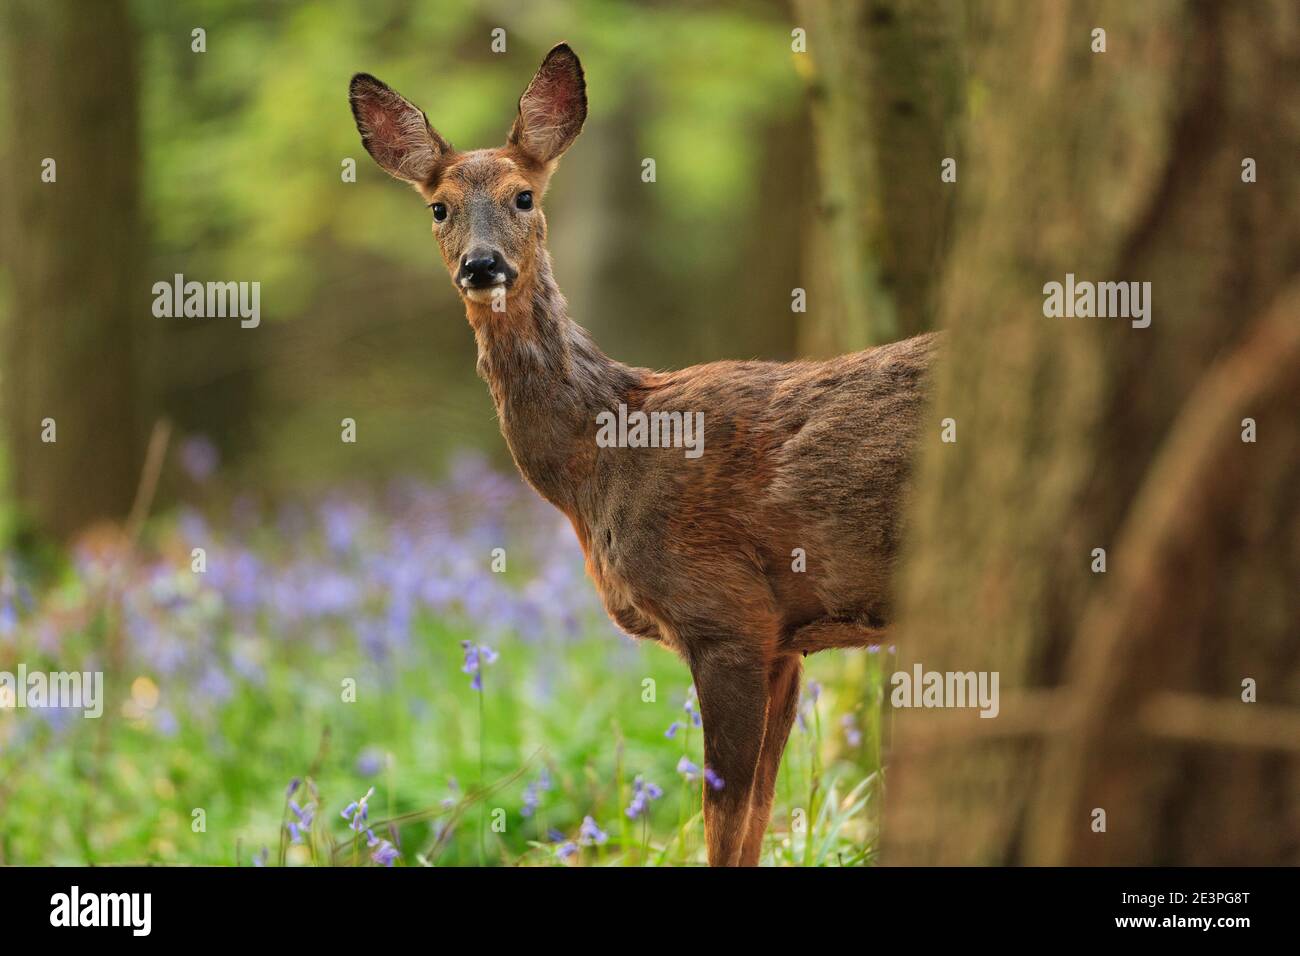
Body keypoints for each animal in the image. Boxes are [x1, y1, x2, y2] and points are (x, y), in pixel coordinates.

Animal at [349, 43, 939, 866]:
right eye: (438, 207)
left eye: (523, 196)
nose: (483, 265)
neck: (600, 460)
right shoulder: (785, 641)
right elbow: (756, 816)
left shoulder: (727, 614)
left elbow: (724, 817)